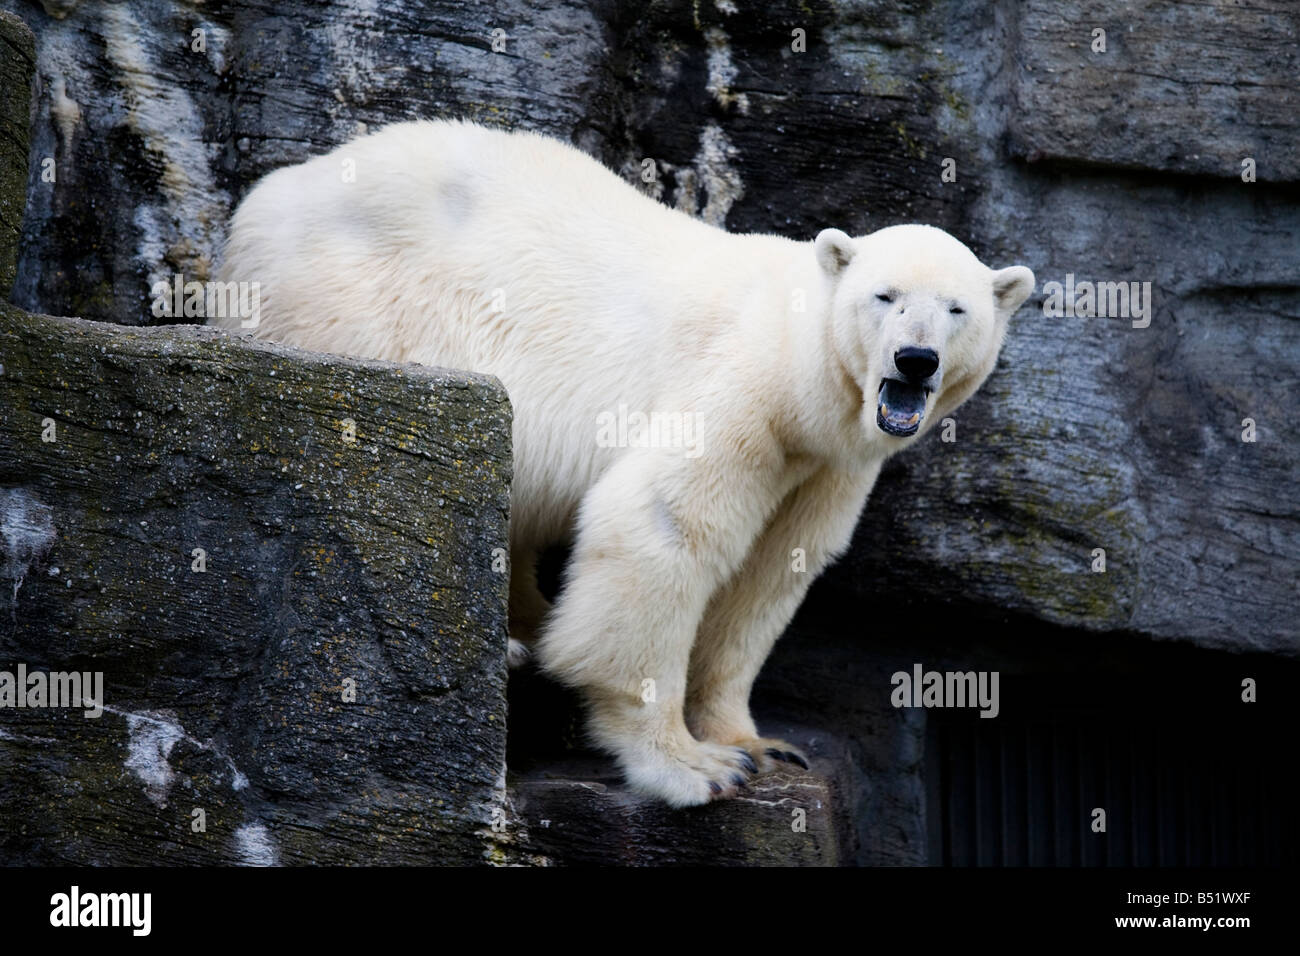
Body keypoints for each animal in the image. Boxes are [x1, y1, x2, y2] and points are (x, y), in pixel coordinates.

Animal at [212, 119, 1035, 807]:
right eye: (884, 296)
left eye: (957, 308)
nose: (915, 359)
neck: (803, 365)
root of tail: (263, 200)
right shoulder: (744, 391)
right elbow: (666, 524)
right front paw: (693, 766)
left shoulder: (824, 464)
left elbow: (771, 571)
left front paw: (757, 742)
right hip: (344, 307)